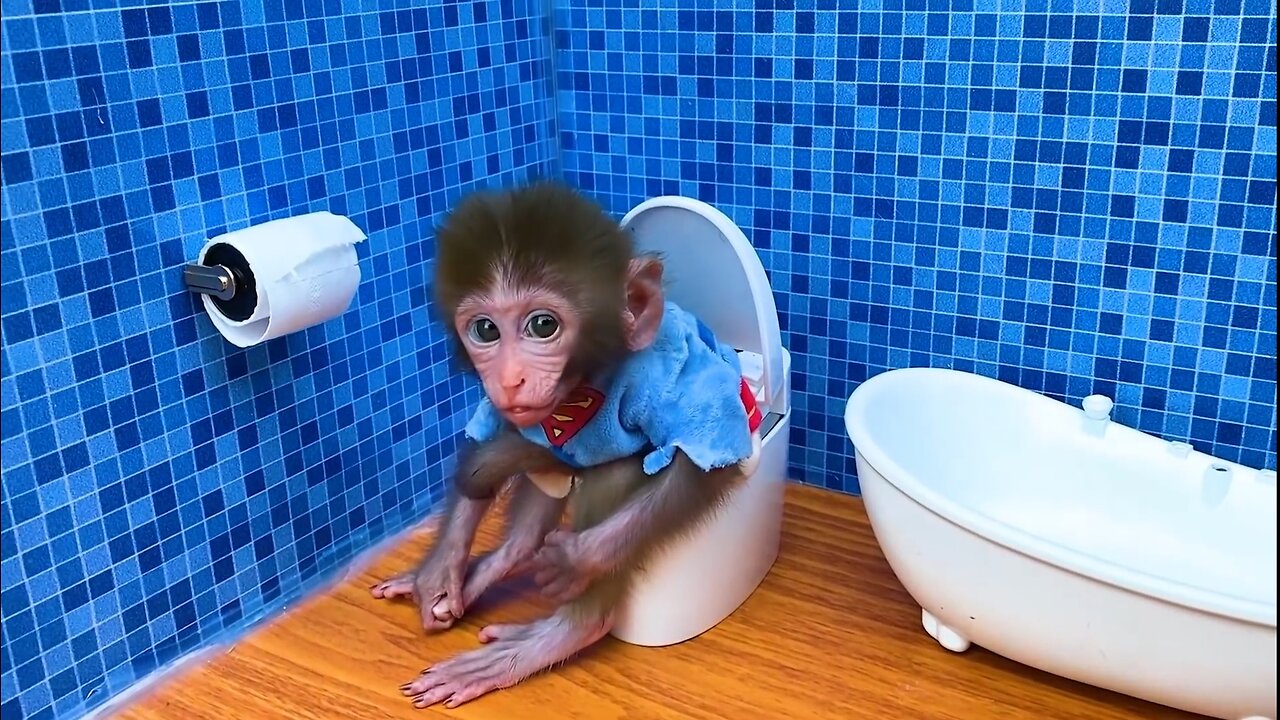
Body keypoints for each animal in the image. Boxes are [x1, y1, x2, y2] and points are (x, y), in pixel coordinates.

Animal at [369, 180, 766, 709]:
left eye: (543, 326)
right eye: (485, 330)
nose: (511, 379)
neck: (584, 387)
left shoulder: (664, 375)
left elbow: (700, 463)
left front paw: (574, 560)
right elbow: (489, 434)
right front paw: (441, 570)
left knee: (616, 470)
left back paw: (566, 630)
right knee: (531, 458)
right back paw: (503, 559)